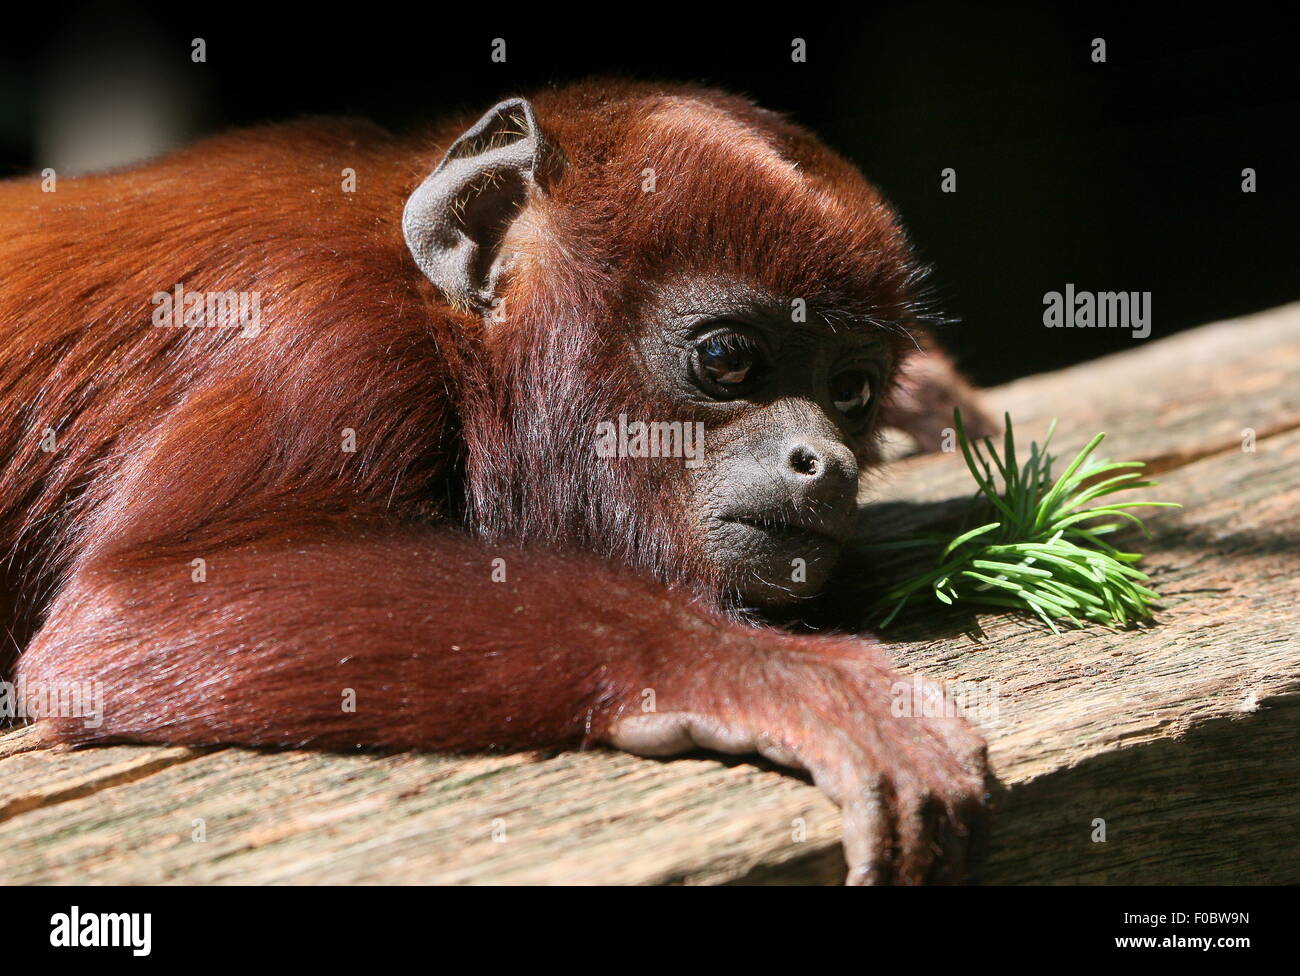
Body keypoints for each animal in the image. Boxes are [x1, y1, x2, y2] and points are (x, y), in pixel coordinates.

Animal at [0, 80, 991, 885]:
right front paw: (755, 671)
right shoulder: (322, 336)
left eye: (852, 393)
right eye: (726, 359)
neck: (446, 319)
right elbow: (131, 608)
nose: (829, 461)